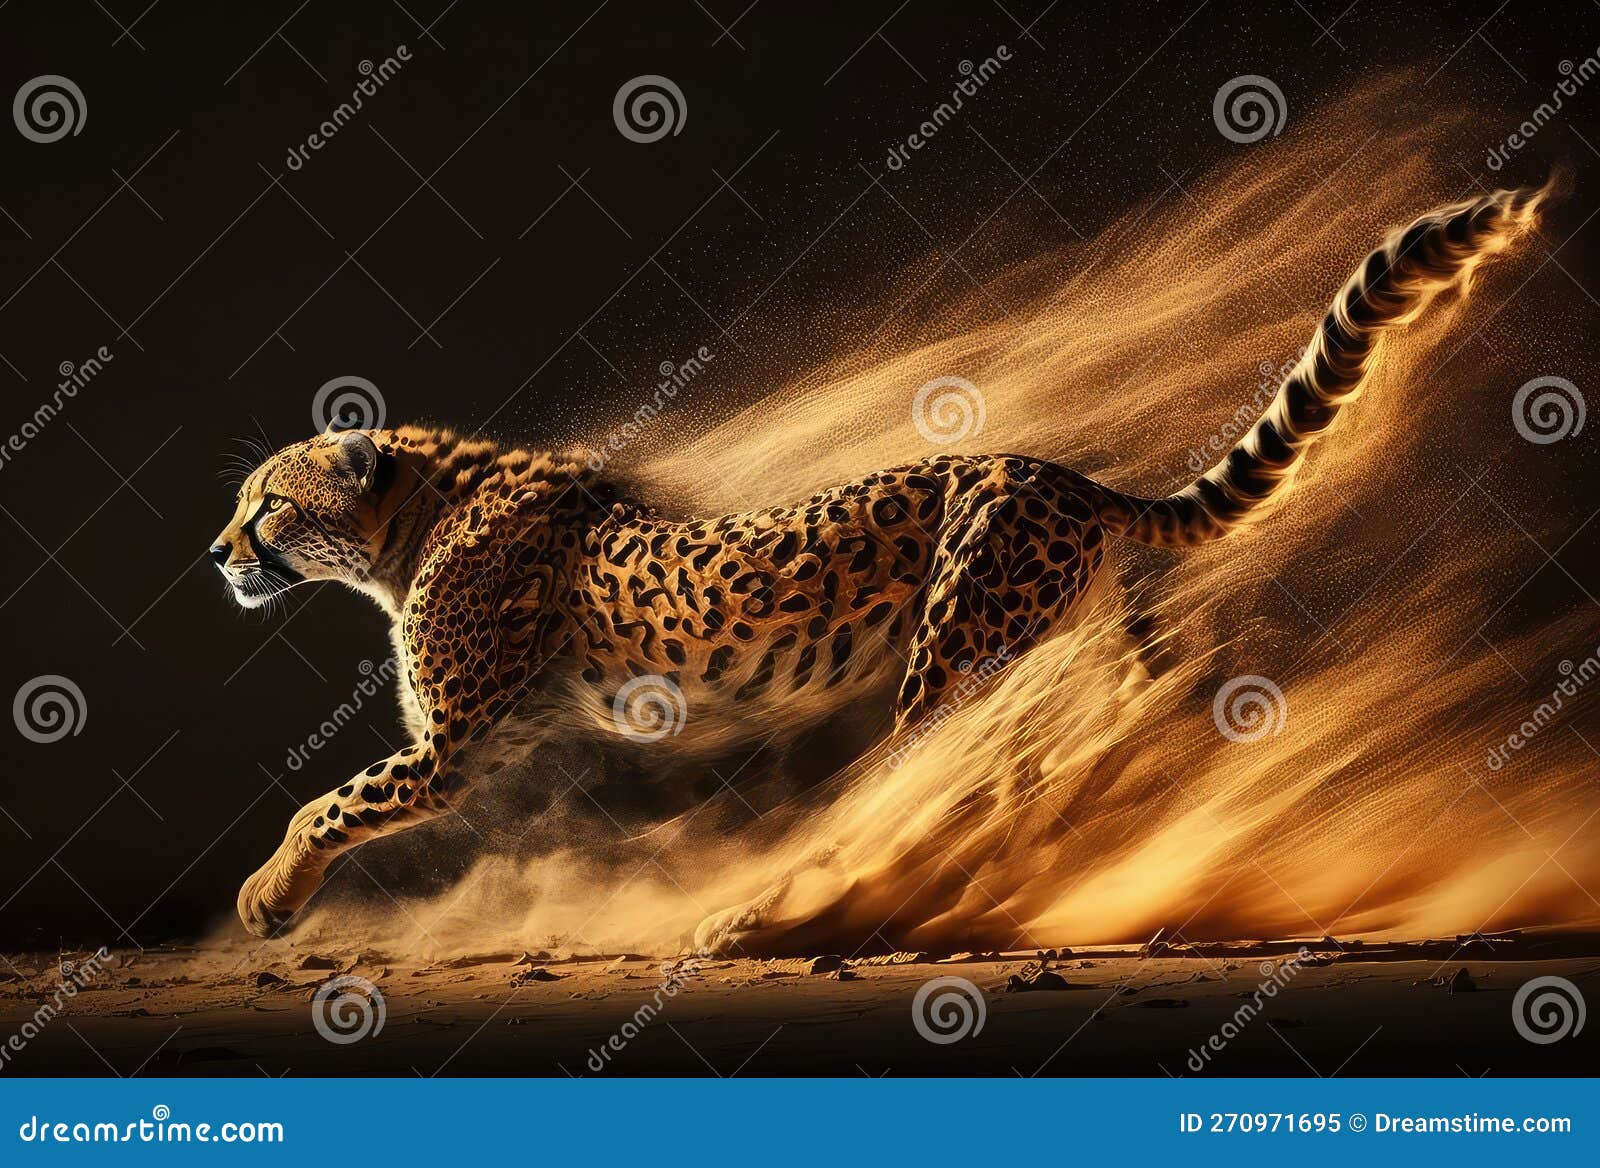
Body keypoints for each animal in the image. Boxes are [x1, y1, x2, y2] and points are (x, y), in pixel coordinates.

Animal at [211, 185, 1545, 937]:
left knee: (918, 791)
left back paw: (778, 915)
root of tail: (1059, 473)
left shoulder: (452, 746)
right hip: (1067, 653)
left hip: (950, 653)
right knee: (1093, 743)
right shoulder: (503, 738)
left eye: (267, 505)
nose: (217, 552)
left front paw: (266, 898)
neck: (408, 522)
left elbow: (329, 799)